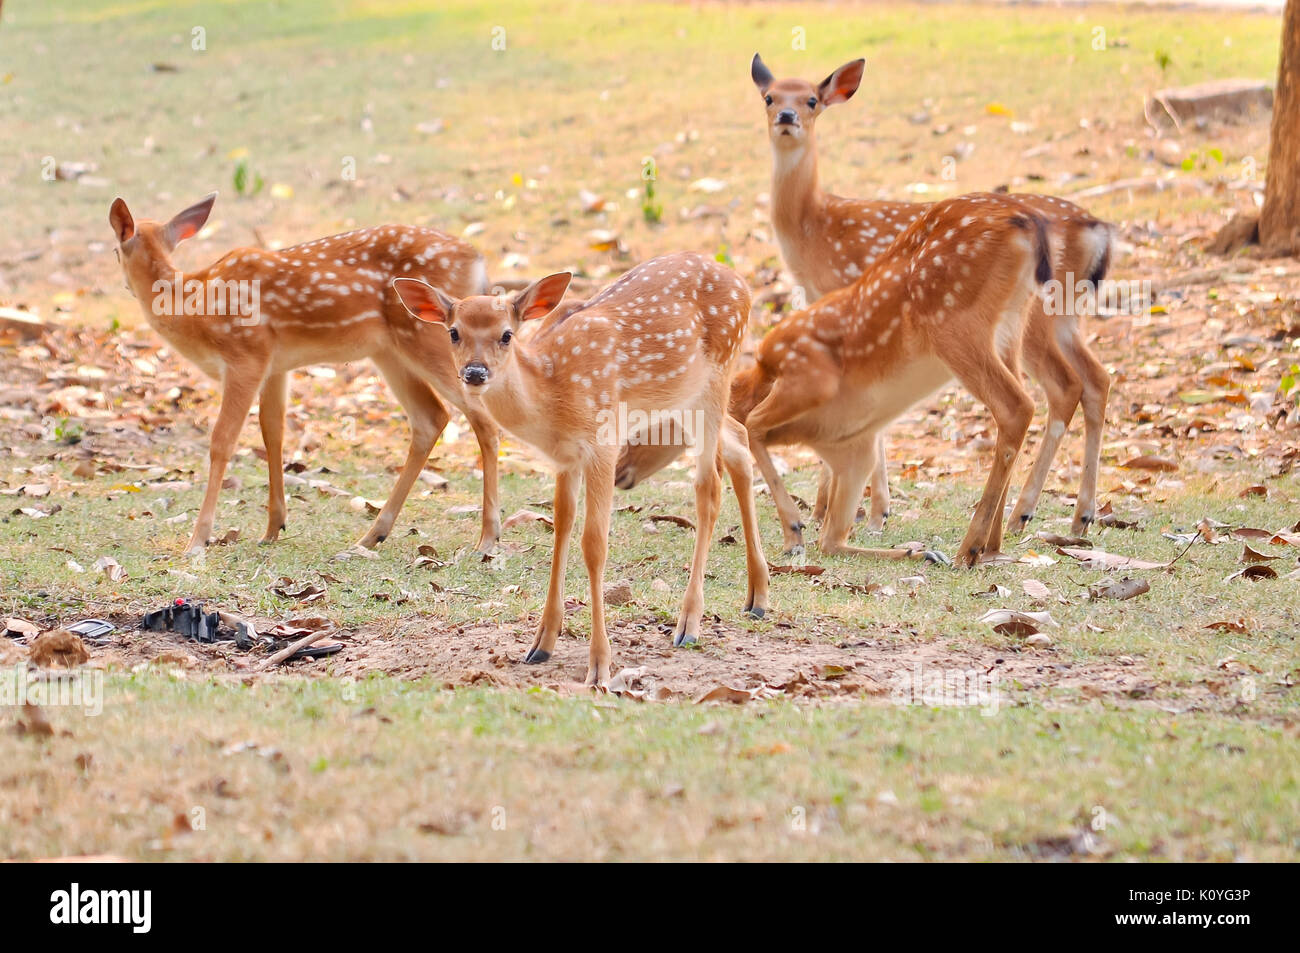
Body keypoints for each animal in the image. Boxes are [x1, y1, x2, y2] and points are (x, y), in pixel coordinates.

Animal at [109, 193, 504, 557]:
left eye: (114, 249)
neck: (193, 306)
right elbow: (273, 433)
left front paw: (197, 541)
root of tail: (477, 261)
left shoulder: (244, 355)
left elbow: (222, 441)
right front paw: (272, 528)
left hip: (431, 340)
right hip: (389, 351)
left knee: (483, 420)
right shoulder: (274, 366)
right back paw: (372, 536)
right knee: (430, 418)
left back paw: (487, 538)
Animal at [391, 253, 770, 689]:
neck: (553, 392)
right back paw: (758, 597)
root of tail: (742, 281)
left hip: (718, 375)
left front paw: (600, 665)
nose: (474, 372)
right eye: (453, 332)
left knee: (709, 487)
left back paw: (689, 624)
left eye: (507, 335)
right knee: (739, 440)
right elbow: (561, 528)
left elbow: (594, 544)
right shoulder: (564, 458)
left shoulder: (603, 442)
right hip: (683, 401)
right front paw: (541, 642)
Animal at [730, 193, 1054, 568]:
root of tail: (1027, 223)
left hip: (954, 325)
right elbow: (831, 533)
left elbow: (752, 424)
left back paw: (966, 550)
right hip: (1011, 327)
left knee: (1017, 405)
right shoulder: (856, 446)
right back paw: (980, 546)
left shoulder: (809, 375)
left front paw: (793, 531)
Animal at [751, 53, 1113, 552]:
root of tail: (1096, 230)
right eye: (769, 97)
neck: (813, 230)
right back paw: (1070, 518)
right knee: (1094, 379)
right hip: (1055, 318)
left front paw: (860, 511)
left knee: (1055, 389)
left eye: (810, 99)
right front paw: (853, 508)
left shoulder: (847, 296)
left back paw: (1013, 523)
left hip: (1022, 319)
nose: (787, 117)